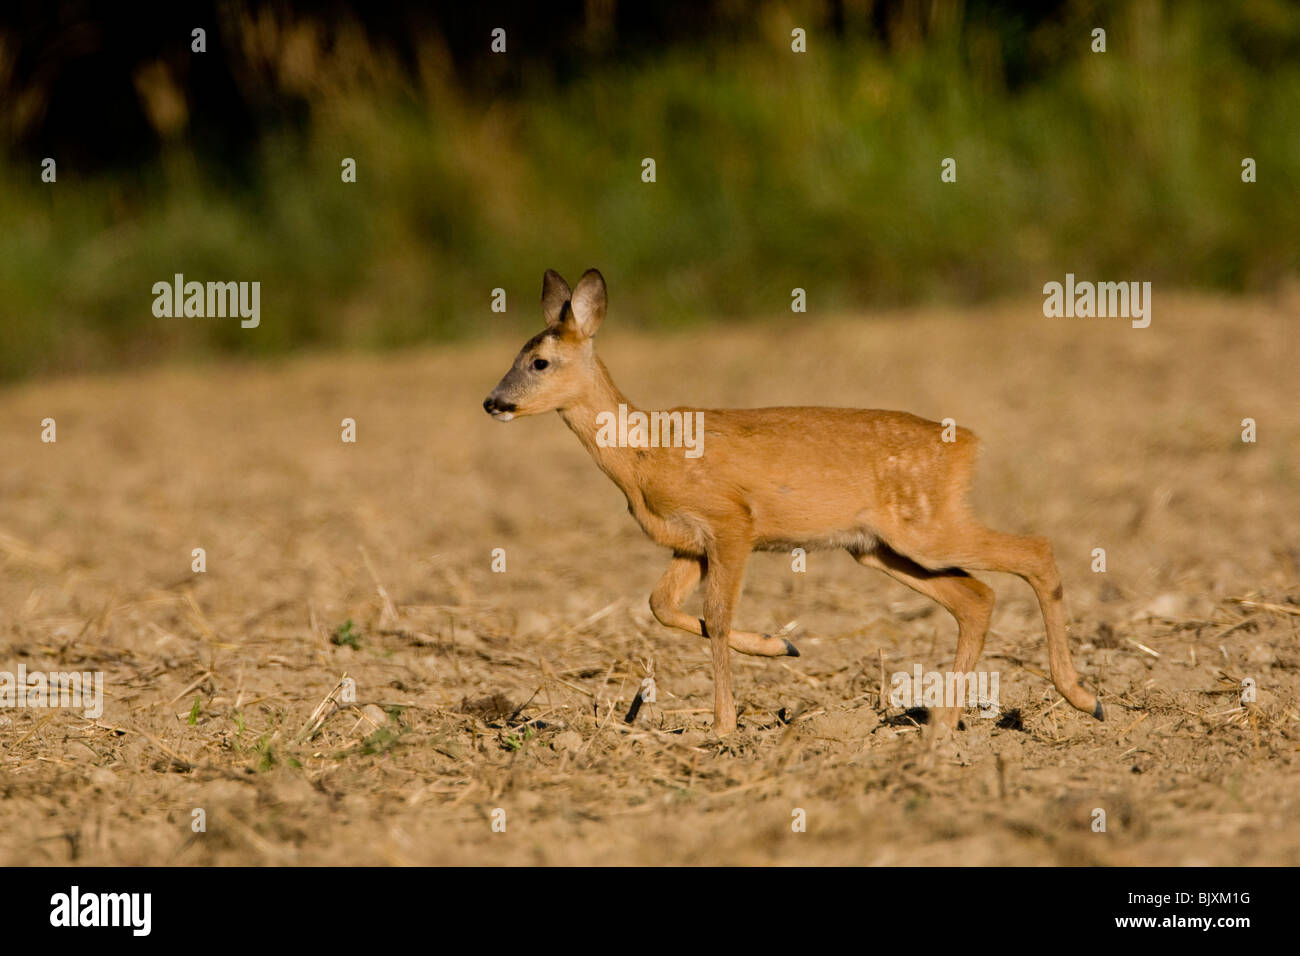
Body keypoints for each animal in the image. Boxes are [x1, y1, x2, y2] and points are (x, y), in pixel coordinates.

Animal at [483, 268, 1103, 736]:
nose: (493, 402)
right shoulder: (689, 543)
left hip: (926, 526)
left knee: (1035, 550)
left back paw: (1082, 698)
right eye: (516, 355)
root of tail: (969, 443)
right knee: (976, 596)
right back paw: (944, 726)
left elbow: (715, 614)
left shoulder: (732, 521)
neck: (643, 455)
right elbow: (660, 605)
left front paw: (723, 726)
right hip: (879, 546)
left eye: (538, 362)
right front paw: (780, 646)